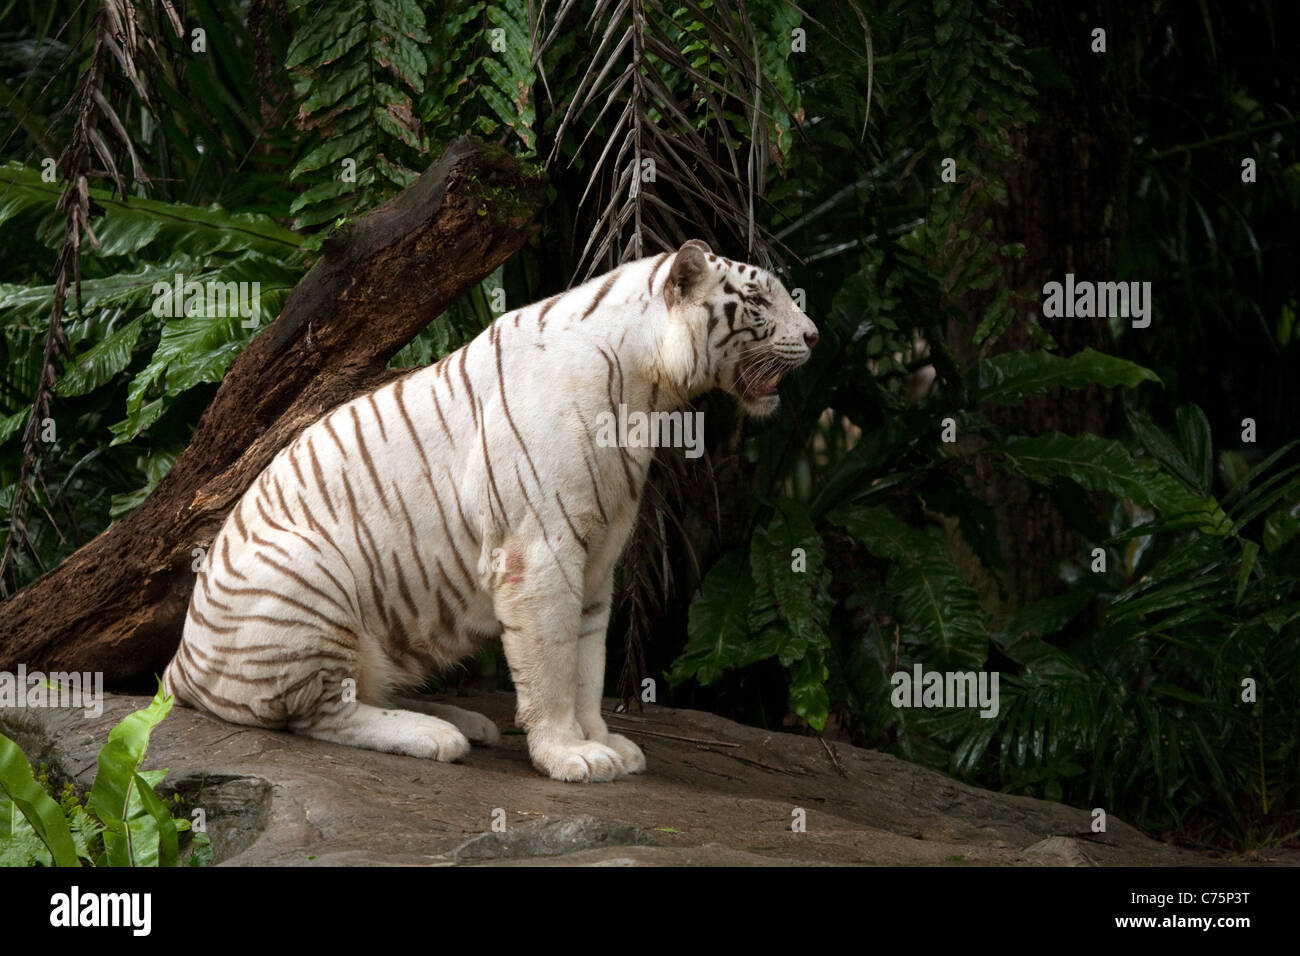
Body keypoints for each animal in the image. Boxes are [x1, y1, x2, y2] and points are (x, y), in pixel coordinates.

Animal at [162, 239, 818, 782]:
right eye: (759, 299)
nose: (813, 336)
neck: (647, 395)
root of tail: (181, 663)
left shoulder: (598, 559)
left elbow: (589, 663)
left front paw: (603, 742)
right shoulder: (541, 551)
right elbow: (552, 664)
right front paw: (568, 755)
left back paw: (465, 722)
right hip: (308, 575)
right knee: (322, 713)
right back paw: (436, 734)